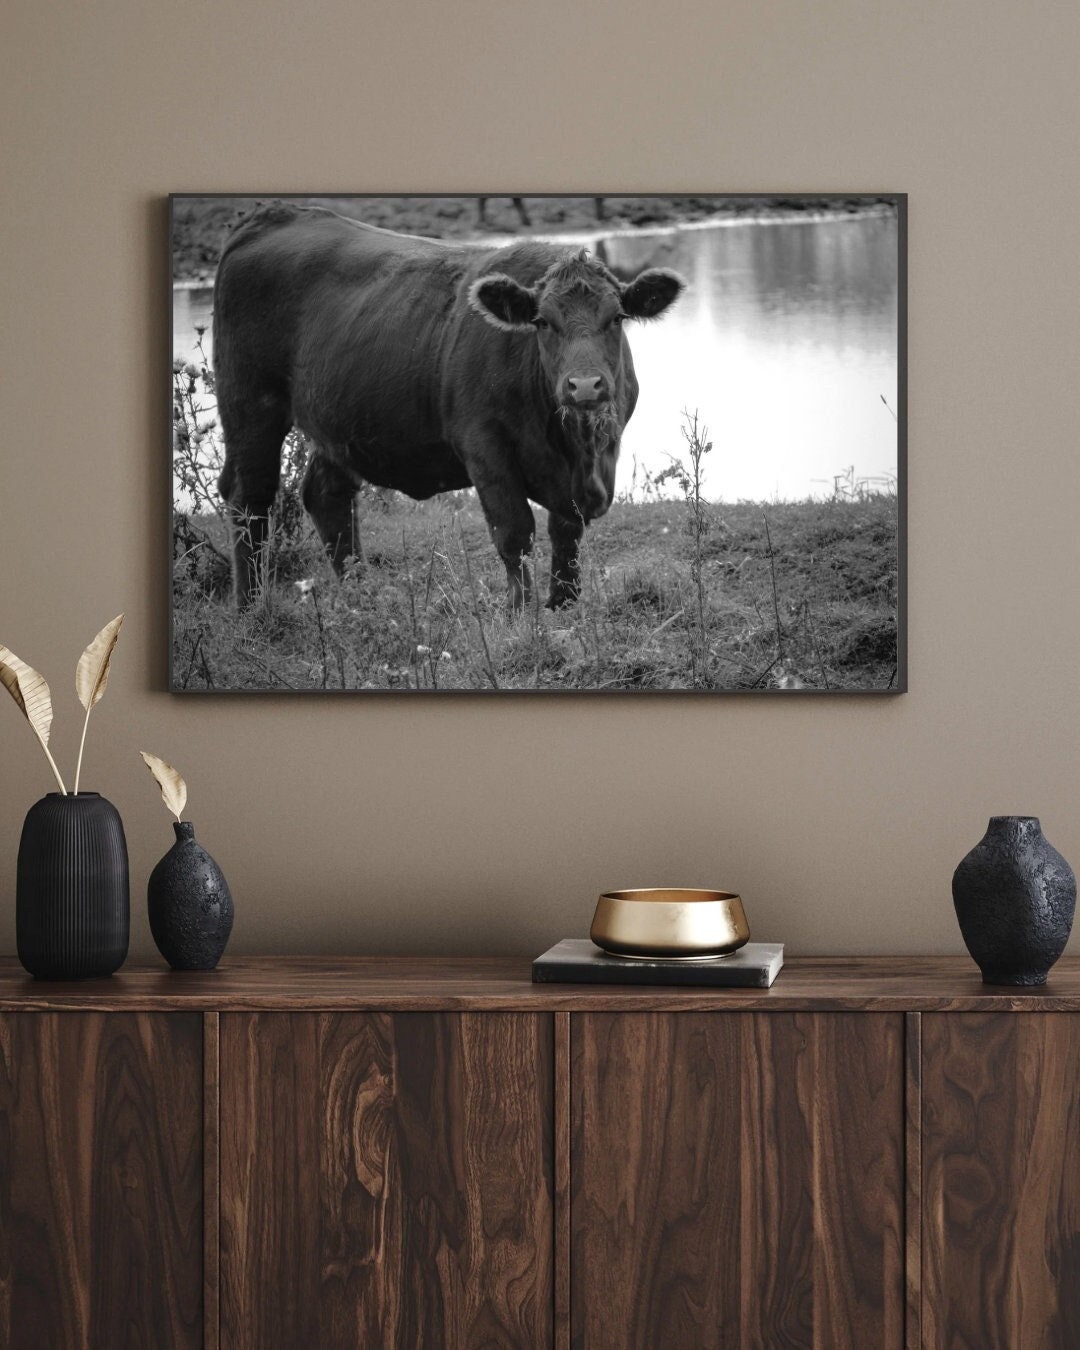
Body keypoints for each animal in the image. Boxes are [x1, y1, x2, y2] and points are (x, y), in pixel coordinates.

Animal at [212, 202, 685, 611]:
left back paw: (362, 596)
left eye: (616, 318)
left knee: (327, 494)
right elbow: (514, 531)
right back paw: (250, 605)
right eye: (542, 322)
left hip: (338, 419)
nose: (584, 385)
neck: (575, 448)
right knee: (250, 497)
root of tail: (276, 213)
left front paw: (563, 605)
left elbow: (566, 531)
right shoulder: (483, 446)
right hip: (249, 404)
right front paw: (521, 613)